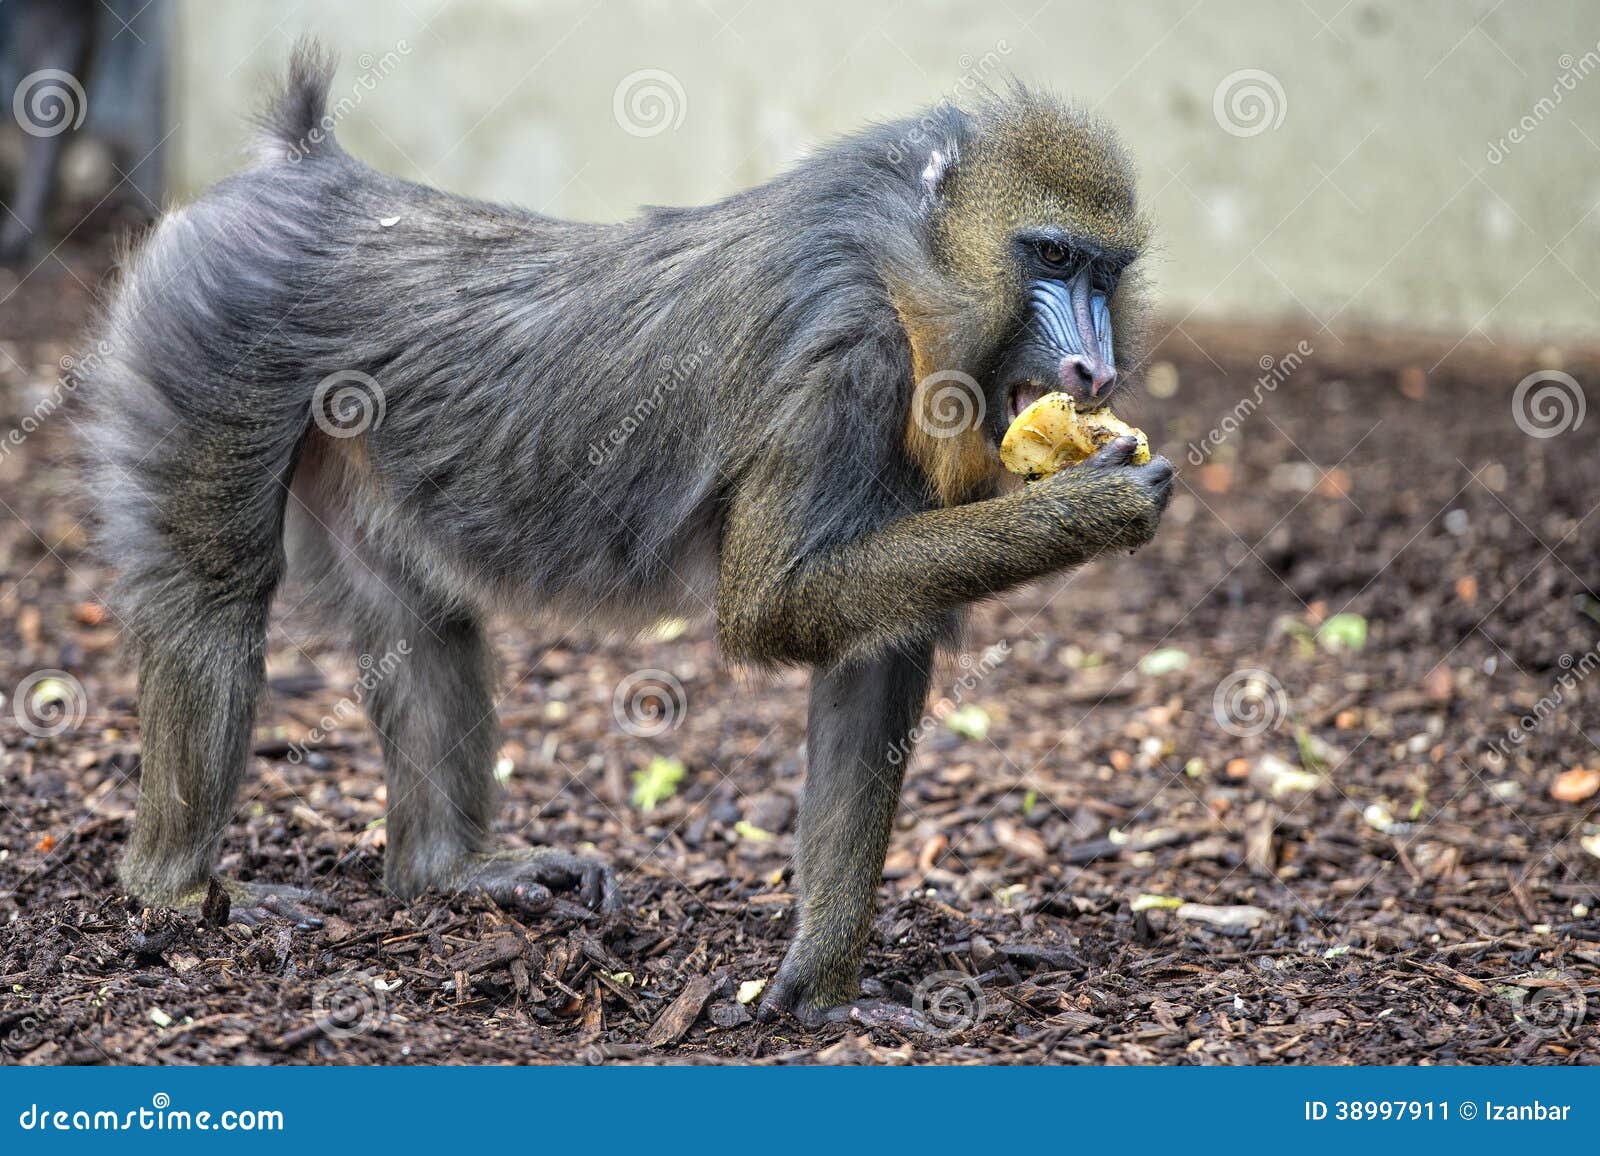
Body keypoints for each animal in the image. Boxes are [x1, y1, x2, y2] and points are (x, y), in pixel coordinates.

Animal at [78, 45, 1172, 1024]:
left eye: (1105, 274)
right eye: (1052, 256)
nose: (1096, 370)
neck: (910, 278)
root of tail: (304, 172)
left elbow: (869, 673)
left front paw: (820, 991)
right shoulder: (841, 360)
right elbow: (774, 610)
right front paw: (1095, 505)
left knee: (416, 612)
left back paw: (449, 872)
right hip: (204, 347)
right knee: (213, 594)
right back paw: (176, 888)